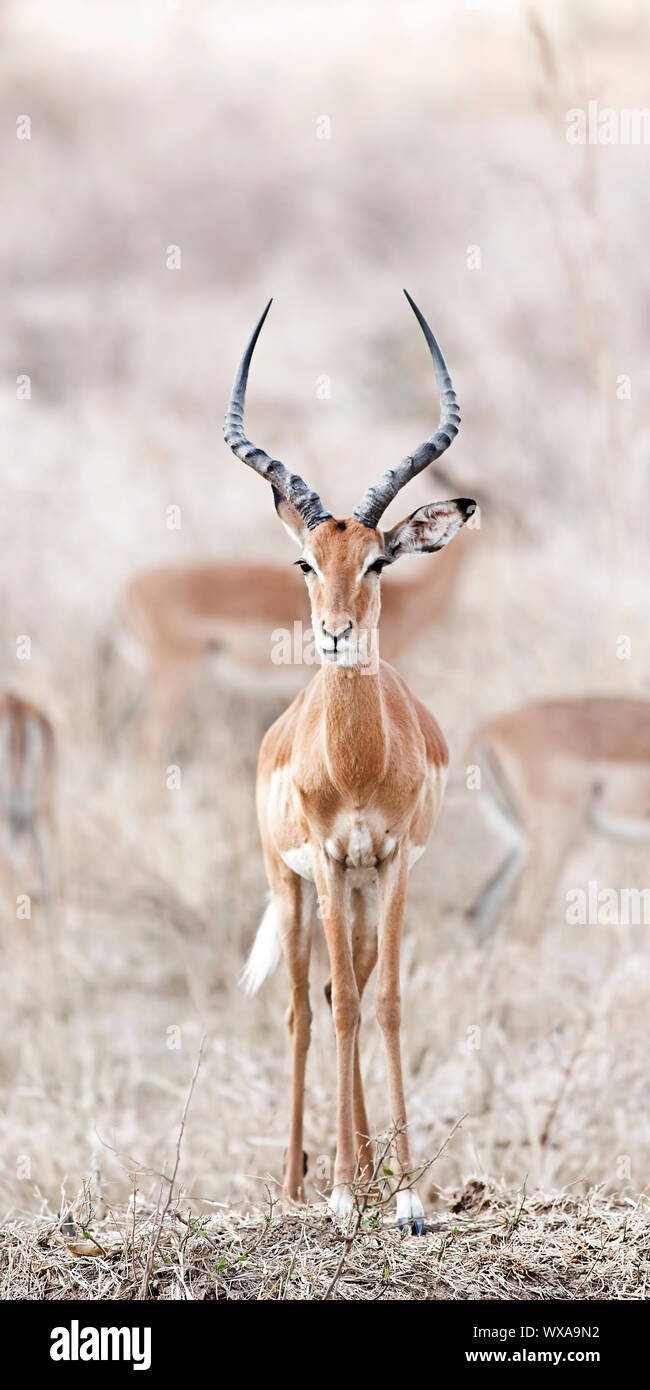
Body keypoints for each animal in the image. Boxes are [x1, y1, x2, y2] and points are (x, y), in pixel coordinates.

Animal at [227, 292, 476, 1229]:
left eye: (376, 560)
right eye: (307, 559)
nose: (334, 631)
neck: (359, 768)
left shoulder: (391, 860)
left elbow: (391, 1004)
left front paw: (403, 1196)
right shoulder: (331, 862)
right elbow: (330, 1015)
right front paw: (338, 1192)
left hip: (364, 890)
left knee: (353, 991)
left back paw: (369, 1171)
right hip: (290, 884)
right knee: (306, 1006)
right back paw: (302, 1185)